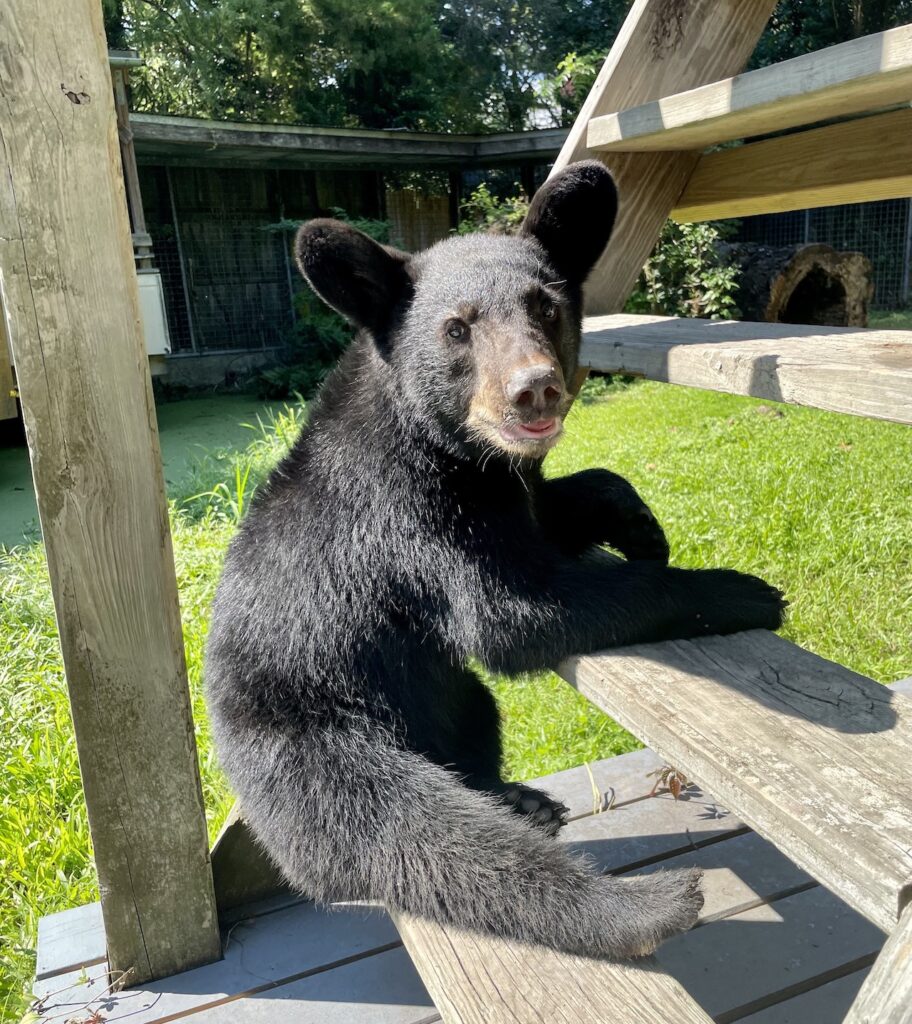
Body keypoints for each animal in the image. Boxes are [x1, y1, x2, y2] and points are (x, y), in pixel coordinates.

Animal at [205, 160, 785, 959]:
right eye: (457, 328)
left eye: (546, 307)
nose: (533, 389)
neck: (458, 452)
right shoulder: (407, 514)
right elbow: (513, 614)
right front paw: (741, 589)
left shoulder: (507, 487)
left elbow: (557, 507)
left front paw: (640, 525)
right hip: (314, 749)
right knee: (426, 838)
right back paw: (642, 903)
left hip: (452, 696)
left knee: (475, 732)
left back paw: (519, 797)